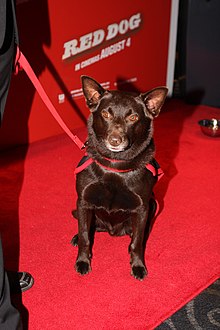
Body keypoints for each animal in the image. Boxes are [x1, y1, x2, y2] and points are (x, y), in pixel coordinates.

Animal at [71, 76, 168, 280]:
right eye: (105, 114)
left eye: (133, 117)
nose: (115, 141)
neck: (115, 164)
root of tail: (113, 231)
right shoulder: (83, 202)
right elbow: (84, 236)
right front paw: (83, 261)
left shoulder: (142, 208)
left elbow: (137, 243)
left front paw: (138, 265)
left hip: (154, 205)